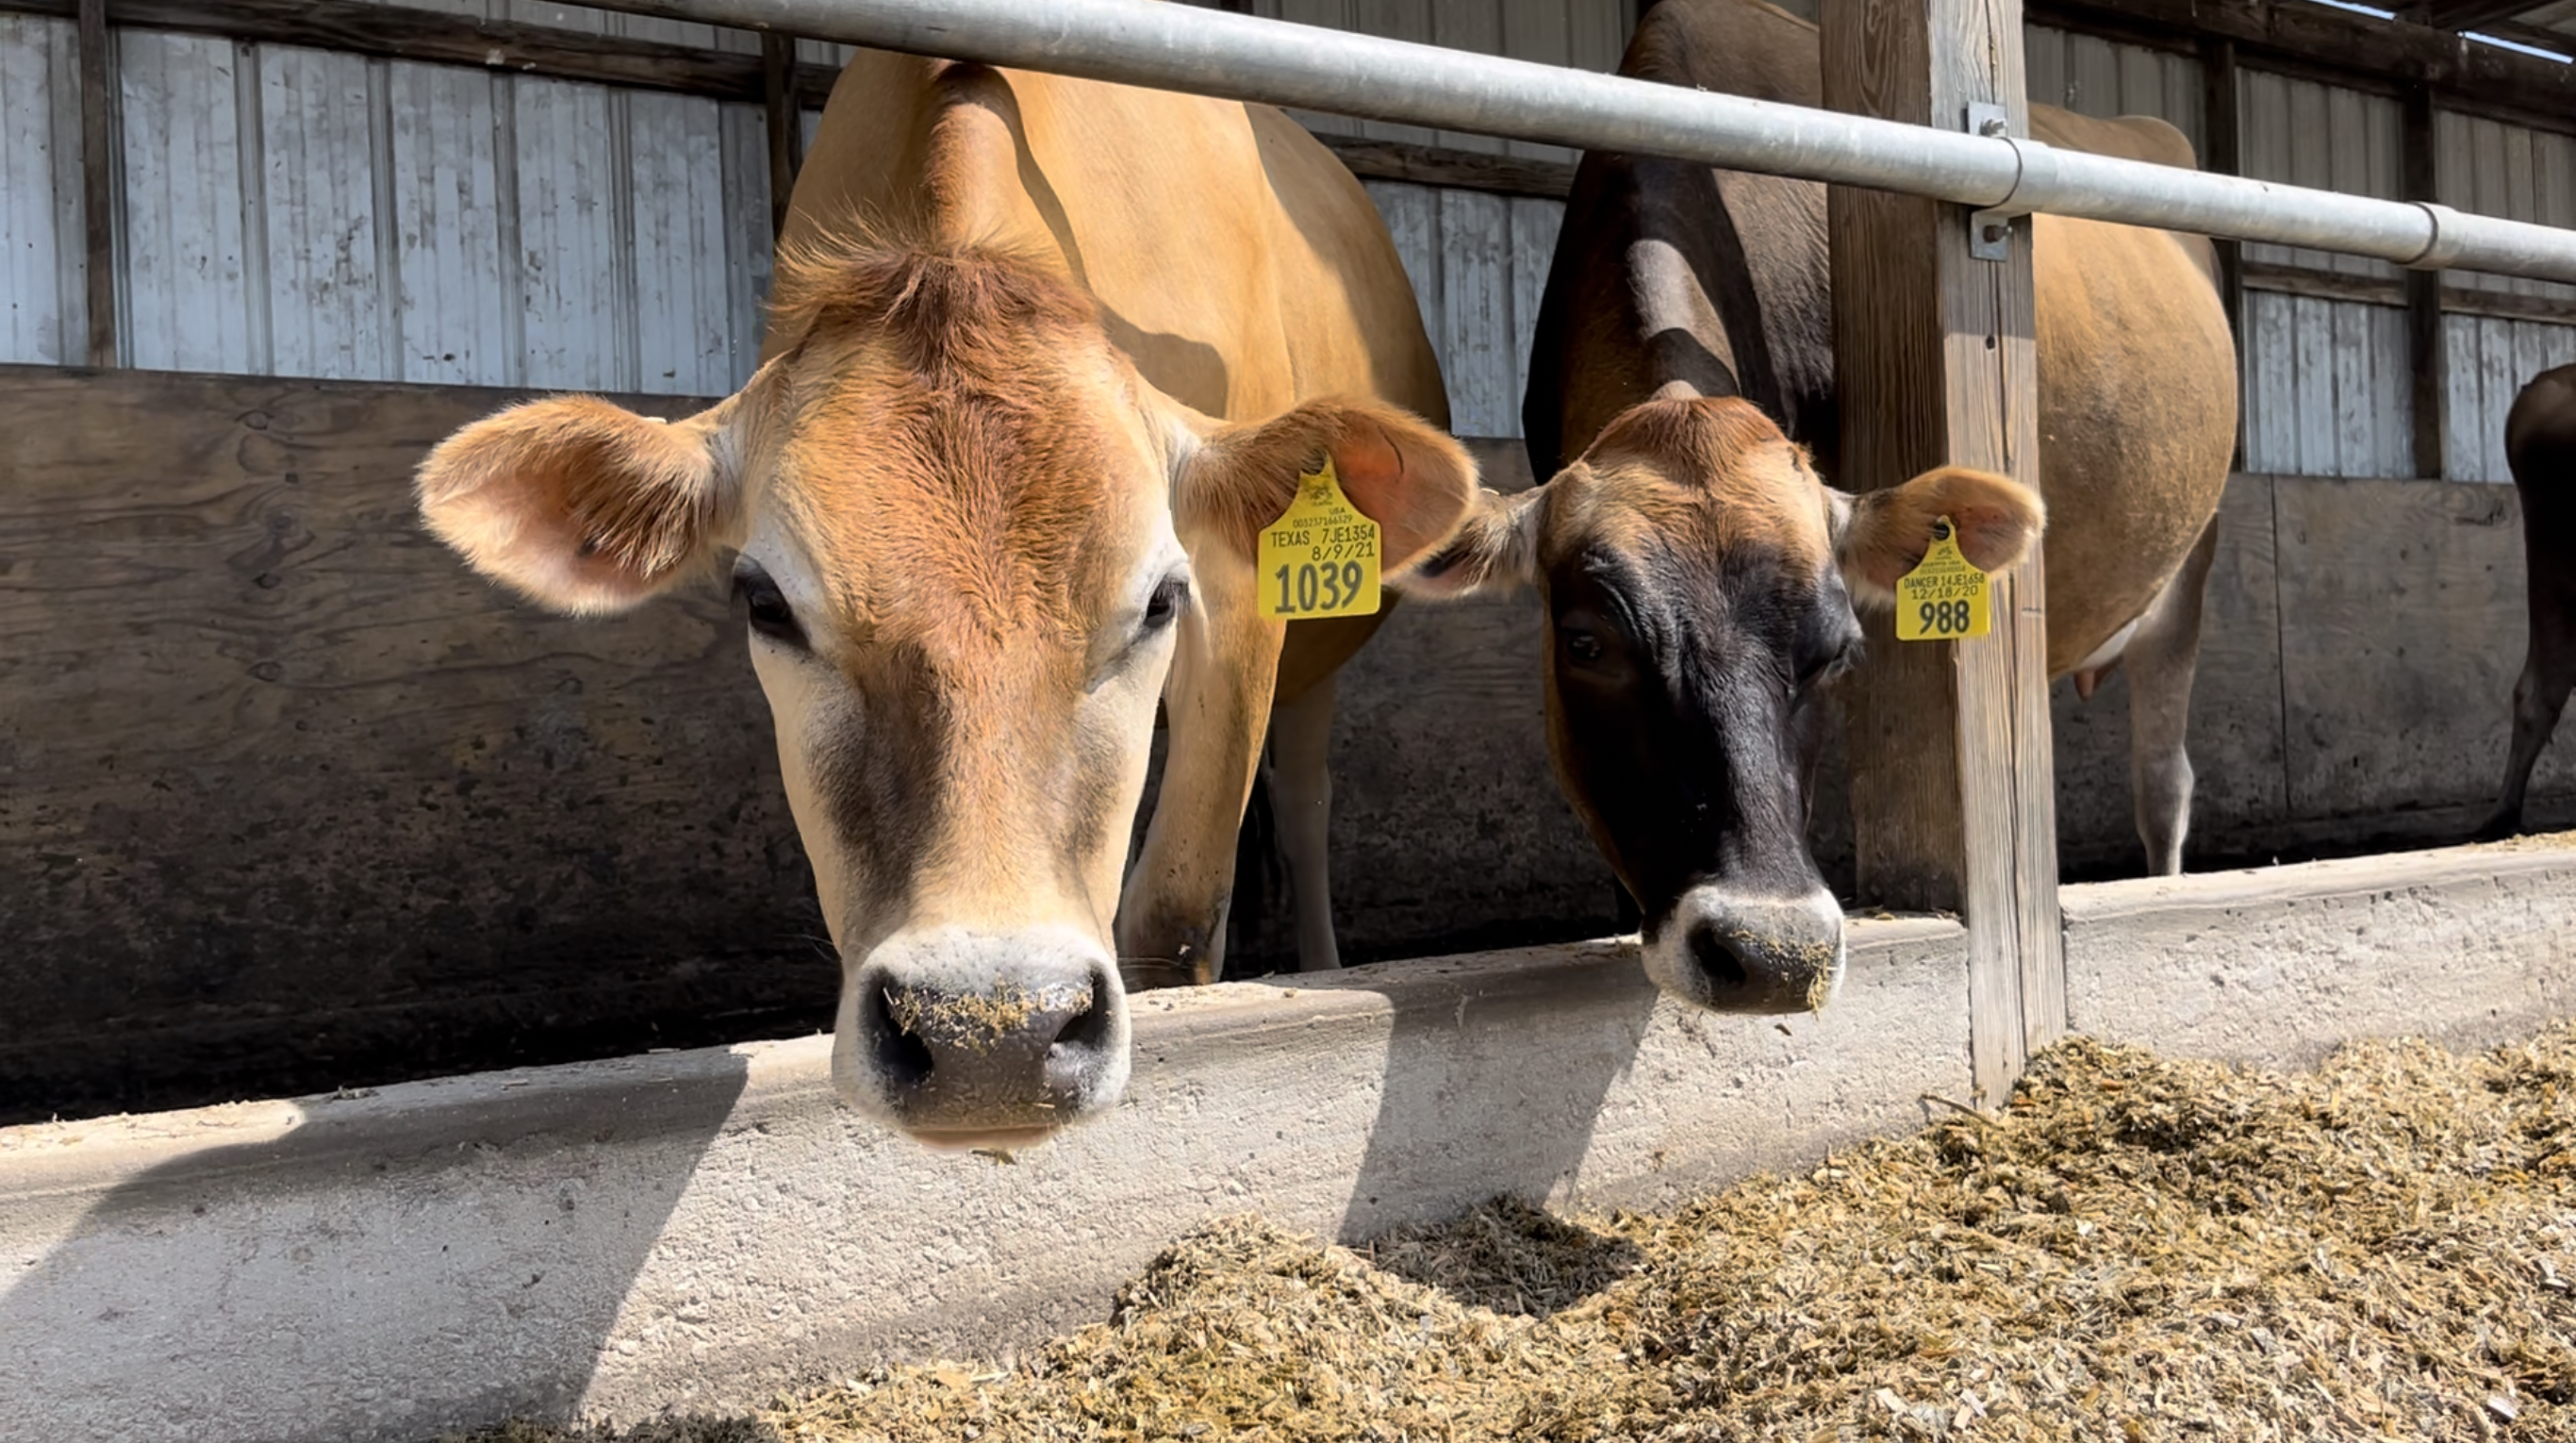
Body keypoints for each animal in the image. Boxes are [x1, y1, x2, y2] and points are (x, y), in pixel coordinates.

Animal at [415, 54, 1475, 1147]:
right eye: (764, 602)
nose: (988, 1038)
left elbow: (1176, 920)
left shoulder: (1239, 611)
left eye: (1159, 601)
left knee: (1304, 799)